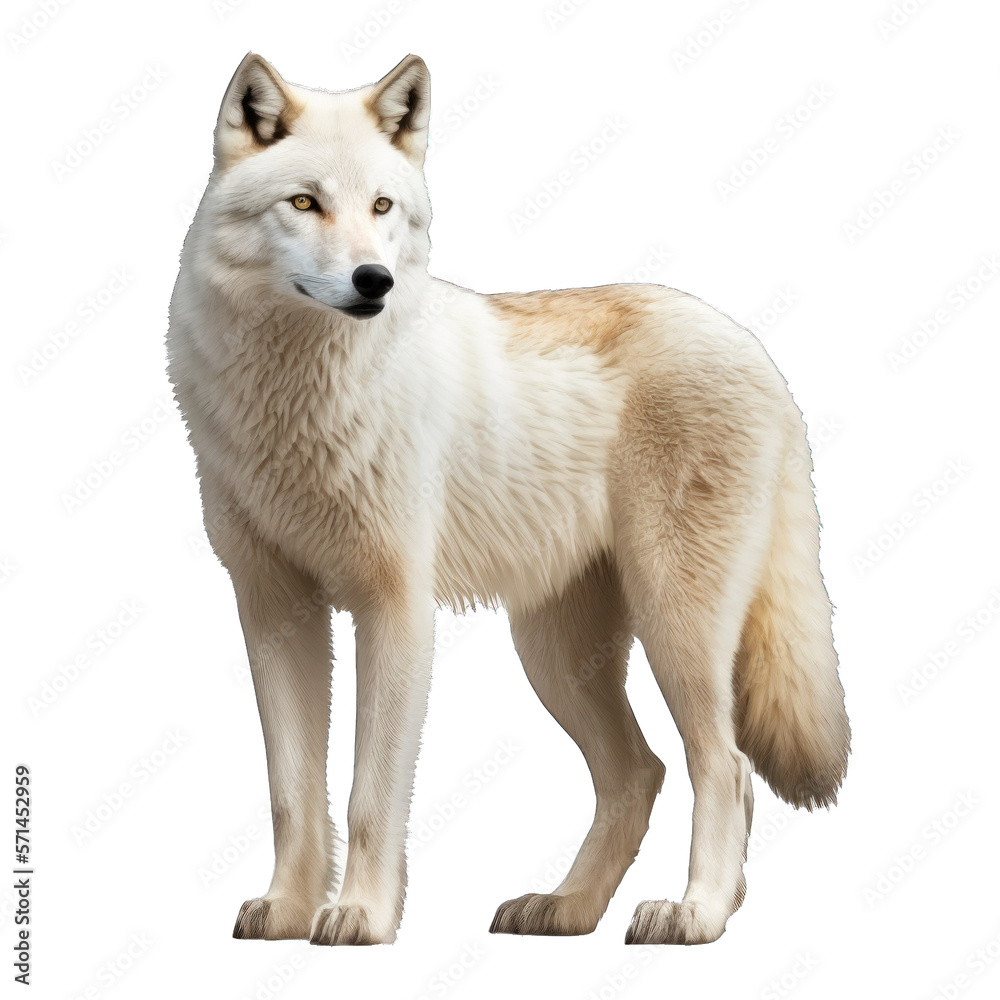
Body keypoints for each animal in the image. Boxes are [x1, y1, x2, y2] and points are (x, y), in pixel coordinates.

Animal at [167, 53, 850, 946]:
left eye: (381, 206)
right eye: (305, 202)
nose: (373, 281)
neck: (300, 396)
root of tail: (760, 351)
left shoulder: (396, 608)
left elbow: (369, 794)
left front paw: (361, 916)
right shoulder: (273, 609)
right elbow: (291, 791)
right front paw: (286, 910)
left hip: (676, 626)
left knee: (724, 767)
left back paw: (695, 912)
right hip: (555, 654)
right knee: (639, 773)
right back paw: (565, 907)